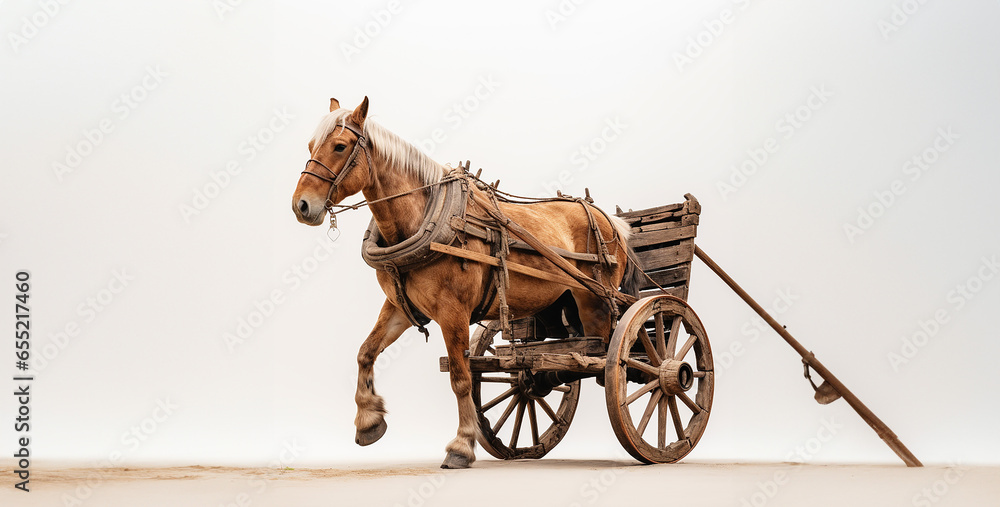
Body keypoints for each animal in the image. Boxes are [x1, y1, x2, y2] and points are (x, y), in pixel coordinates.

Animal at [291, 96, 640, 468]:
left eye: (340, 146)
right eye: (311, 146)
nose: (301, 205)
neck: (426, 218)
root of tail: (613, 221)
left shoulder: (453, 312)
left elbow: (461, 378)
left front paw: (461, 445)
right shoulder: (400, 307)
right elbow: (365, 353)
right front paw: (369, 421)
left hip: (596, 302)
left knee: (611, 361)